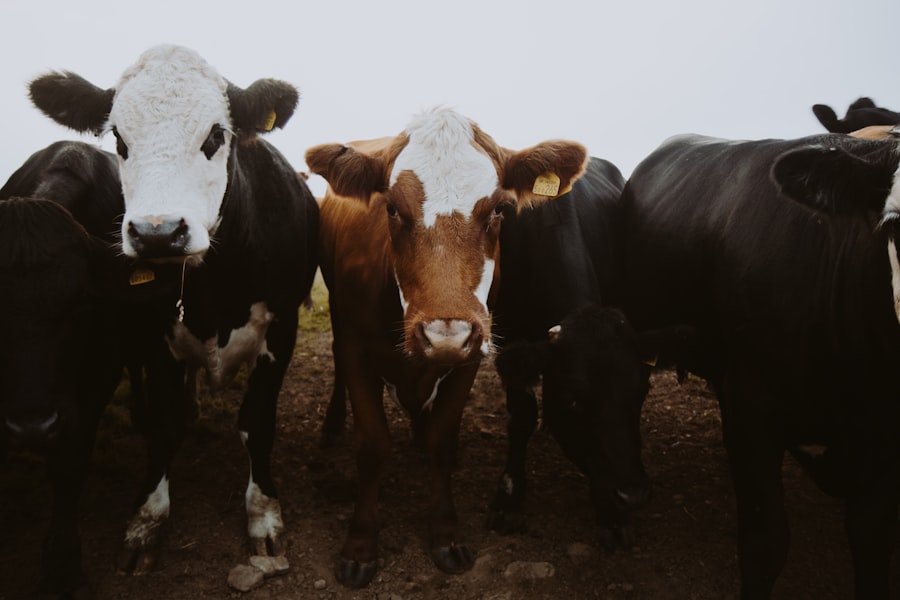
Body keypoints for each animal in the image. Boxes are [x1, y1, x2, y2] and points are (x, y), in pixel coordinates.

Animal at [18, 44, 319, 579]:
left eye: (216, 135)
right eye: (119, 138)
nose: (156, 233)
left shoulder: (282, 328)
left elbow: (257, 423)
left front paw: (263, 516)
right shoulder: (153, 334)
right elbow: (162, 423)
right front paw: (146, 521)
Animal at [305, 107, 590, 588]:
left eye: (499, 209)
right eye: (392, 208)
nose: (445, 334)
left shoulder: (470, 358)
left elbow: (441, 438)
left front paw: (445, 533)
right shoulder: (357, 348)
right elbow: (372, 446)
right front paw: (360, 545)